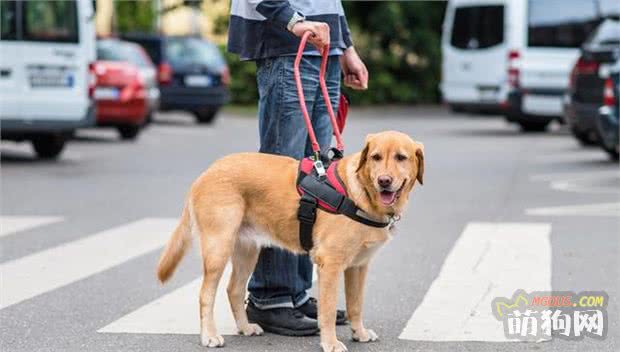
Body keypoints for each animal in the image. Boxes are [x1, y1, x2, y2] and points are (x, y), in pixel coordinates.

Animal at [157, 131, 424, 350]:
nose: (384, 181)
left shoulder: (358, 267)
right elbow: (327, 311)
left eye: (401, 157)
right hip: (218, 248)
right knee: (206, 295)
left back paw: (245, 327)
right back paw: (209, 336)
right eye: (376, 157)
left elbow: (355, 305)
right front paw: (330, 343)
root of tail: (207, 172)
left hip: (247, 251)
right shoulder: (330, 264)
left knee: (234, 289)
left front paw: (359, 333)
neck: (362, 195)